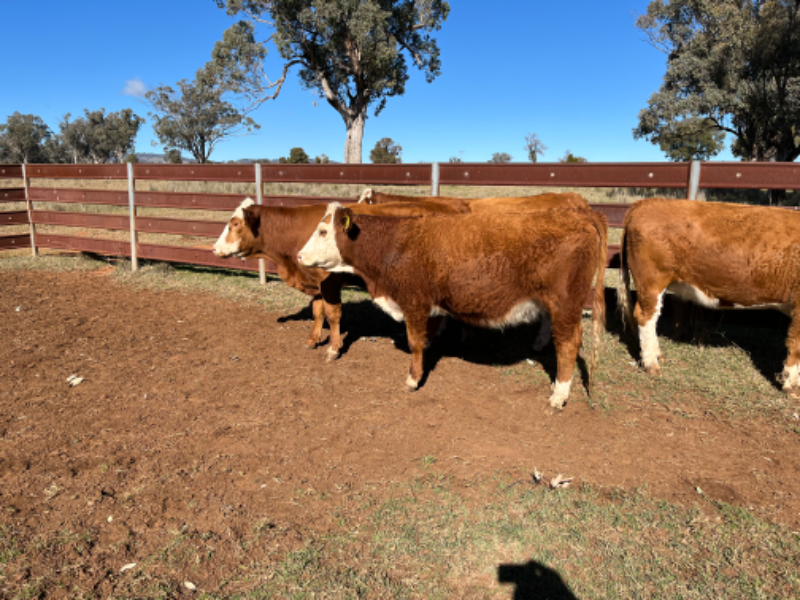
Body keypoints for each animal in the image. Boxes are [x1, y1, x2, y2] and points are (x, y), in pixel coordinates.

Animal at [212, 198, 469, 361]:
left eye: (235, 224)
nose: (214, 249)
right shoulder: (316, 282)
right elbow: (317, 311)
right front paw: (312, 340)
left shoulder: (330, 281)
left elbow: (333, 314)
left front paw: (333, 349)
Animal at [297, 203, 608, 408]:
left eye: (323, 231)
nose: (299, 256)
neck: (394, 244)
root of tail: (581, 214)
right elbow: (425, 338)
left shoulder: (414, 302)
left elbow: (414, 342)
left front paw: (413, 379)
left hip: (565, 304)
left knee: (568, 344)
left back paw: (558, 395)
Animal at [618, 197, 800, 395]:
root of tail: (644, 203)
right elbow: (796, 346)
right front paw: (792, 386)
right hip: (652, 280)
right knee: (646, 316)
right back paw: (651, 363)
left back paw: (658, 355)